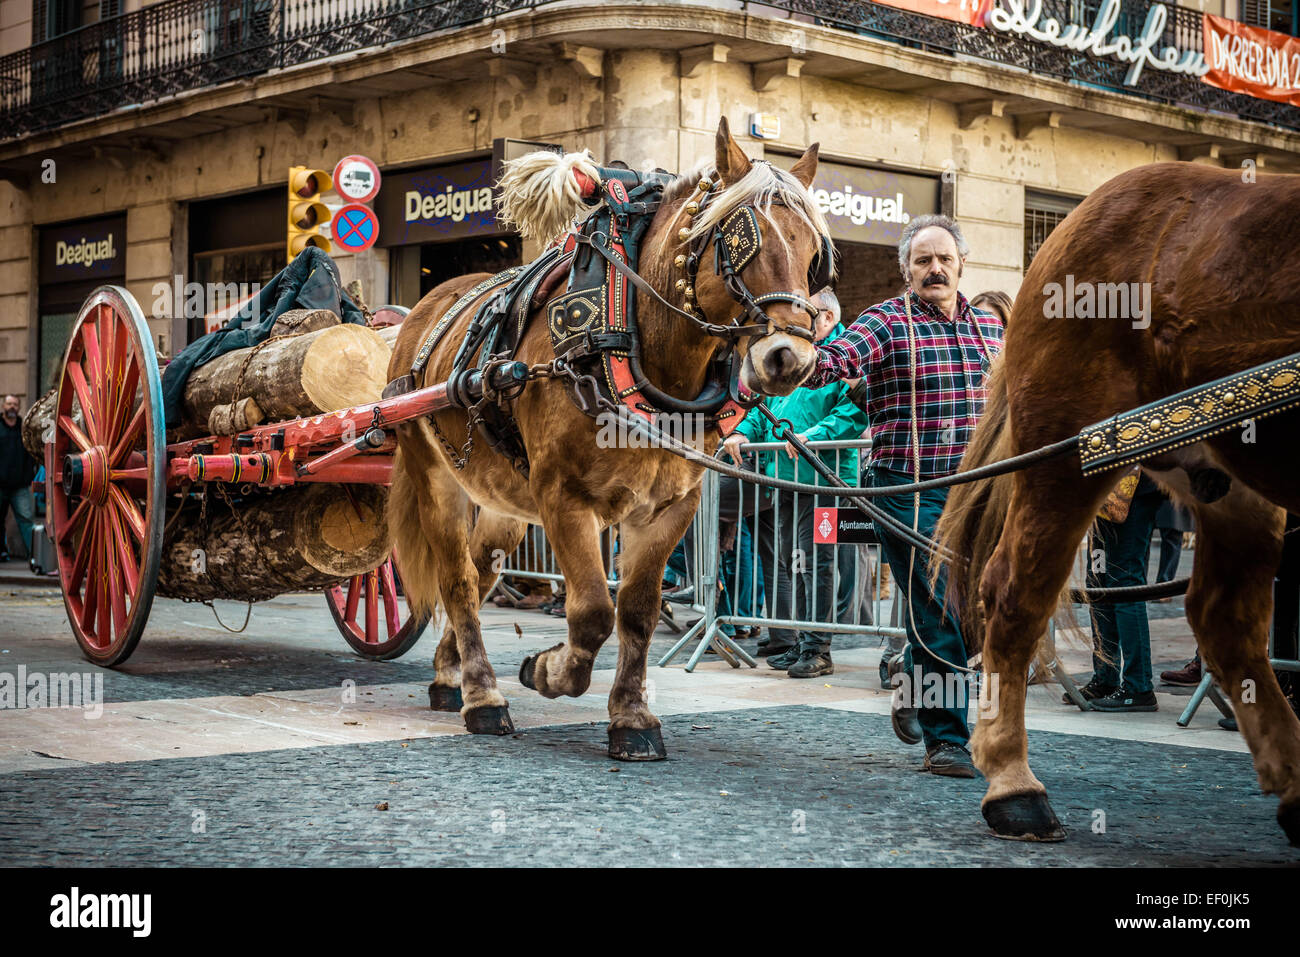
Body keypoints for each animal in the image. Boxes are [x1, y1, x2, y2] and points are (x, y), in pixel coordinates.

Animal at [386, 117, 832, 759]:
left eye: (811, 252)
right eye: (742, 240)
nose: (789, 358)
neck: (626, 335)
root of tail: (422, 311)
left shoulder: (670, 506)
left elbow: (637, 611)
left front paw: (631, 718)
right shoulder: (562, 497)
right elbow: (593, 611)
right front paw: (546, 671)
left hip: (503, 501)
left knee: (480, 571)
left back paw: (452, 676)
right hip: (436, 478)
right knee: (458, 582)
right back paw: (484, 696)